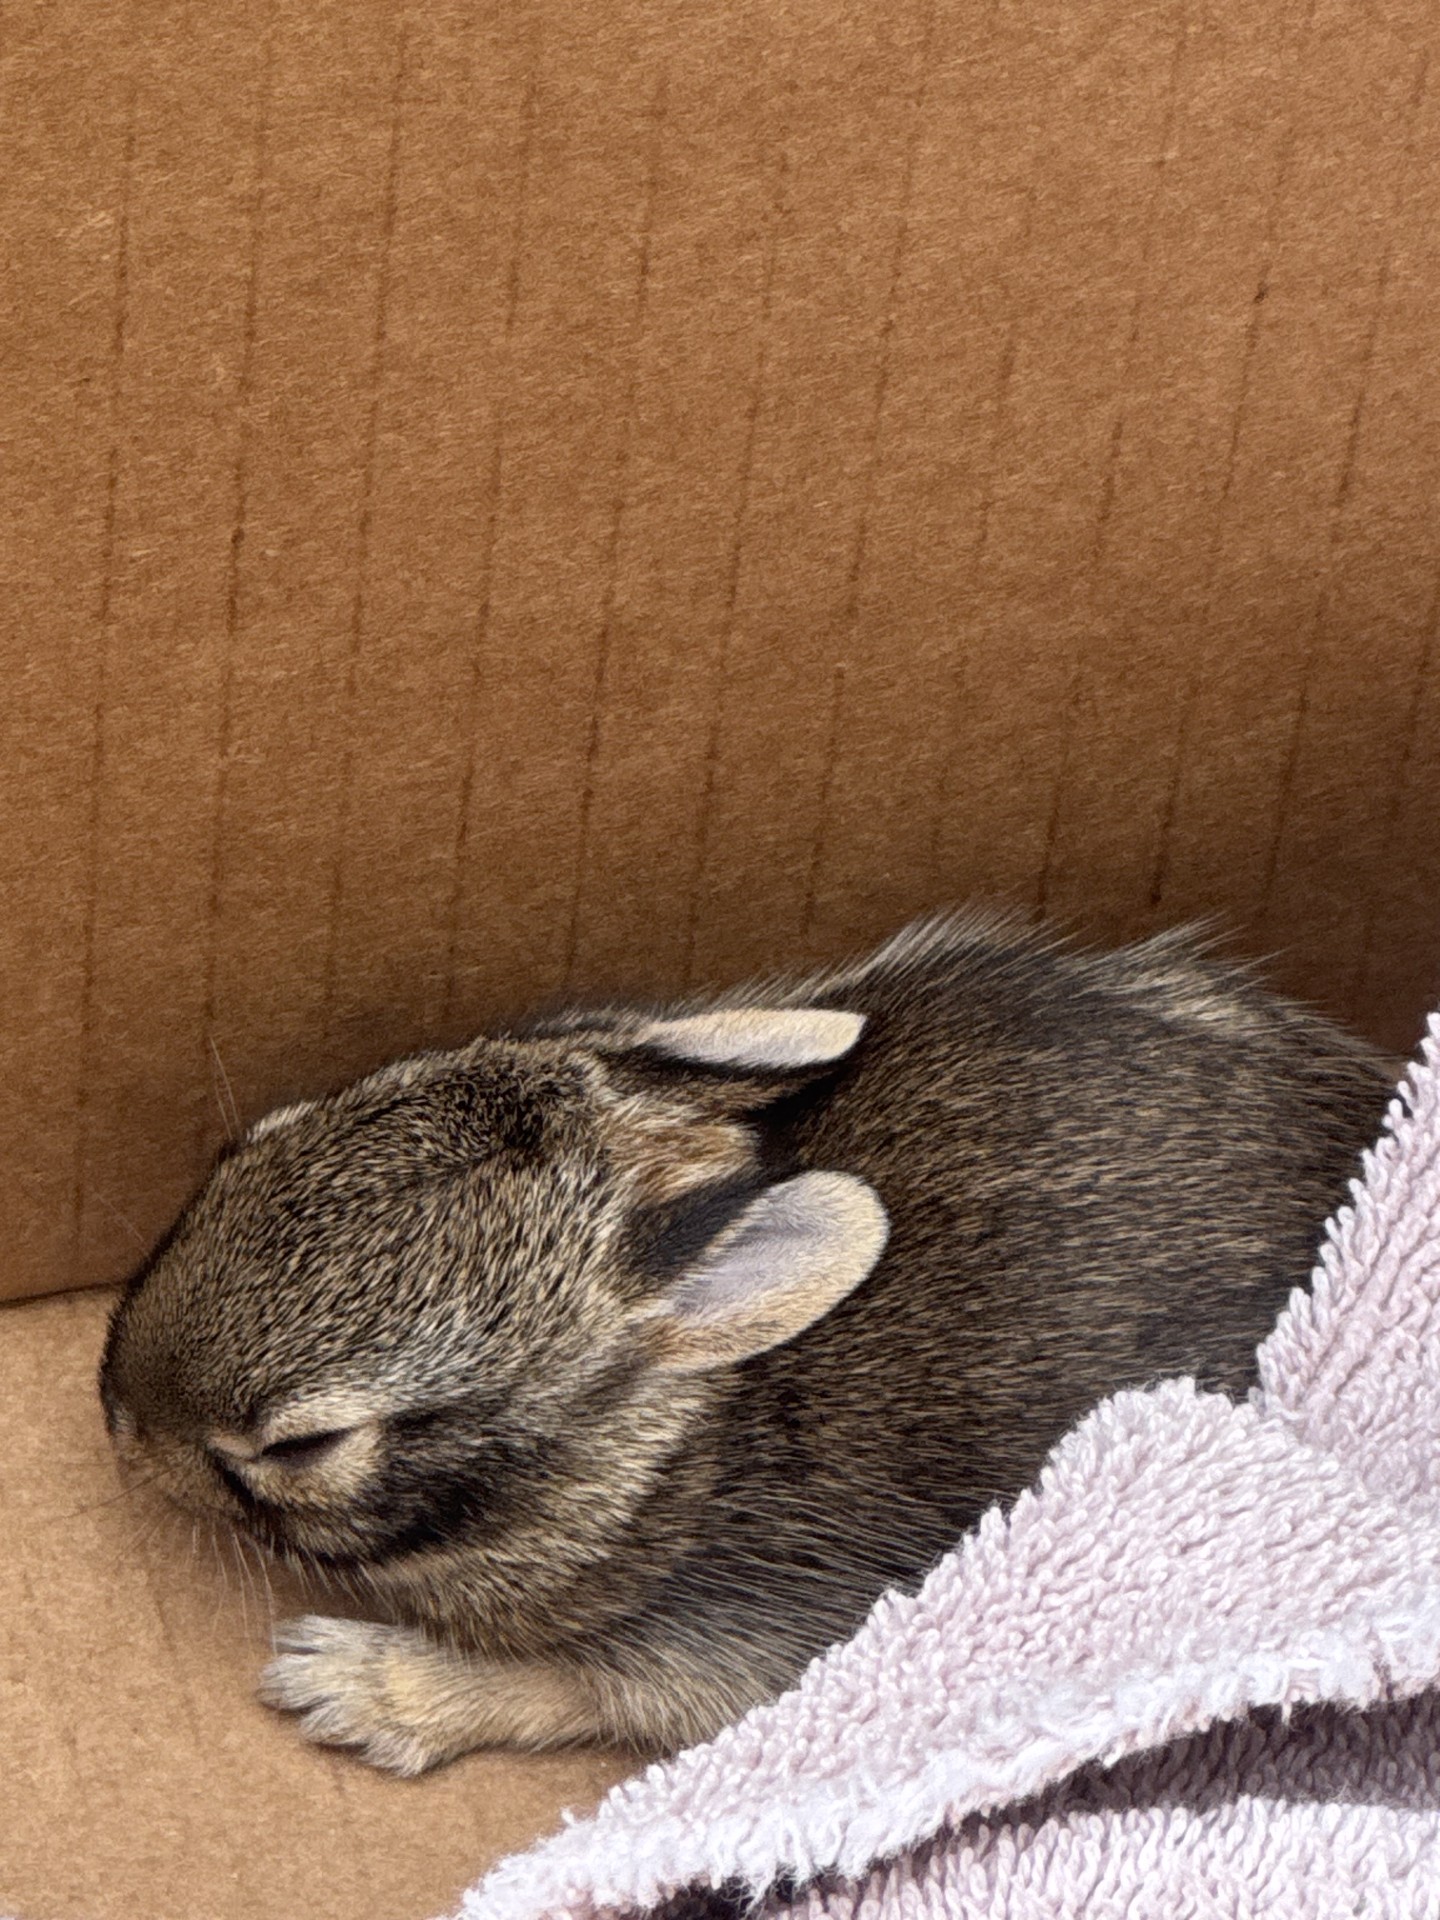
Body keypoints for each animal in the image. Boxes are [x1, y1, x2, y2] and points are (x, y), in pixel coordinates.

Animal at [99, 912, 1393, 1775]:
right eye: (260, 1140)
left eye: (307, 1445)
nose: (113, 1414)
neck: (672, 1442)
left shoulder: (751, 1633)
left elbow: (571, 1688)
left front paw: (348, 1685)